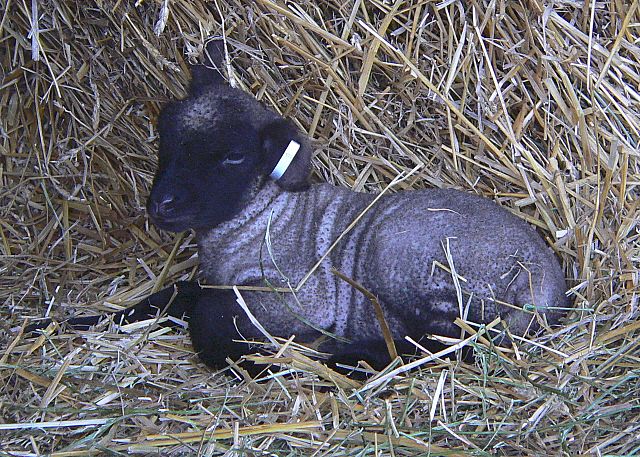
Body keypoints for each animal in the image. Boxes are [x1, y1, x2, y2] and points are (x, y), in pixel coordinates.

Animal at [30, 44, 569, 372]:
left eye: (233, 156)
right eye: (165, 134)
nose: (161, 205)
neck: (257, 219)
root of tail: (548, 285)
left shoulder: (296, 296)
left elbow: (206, 319)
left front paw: (258, 357)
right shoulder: (217, 282)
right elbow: (171, 297)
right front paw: (59, 324)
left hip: (407, 258)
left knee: (438, 344)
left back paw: (343, 354)